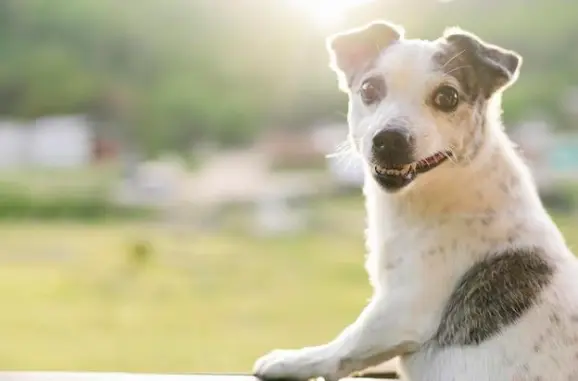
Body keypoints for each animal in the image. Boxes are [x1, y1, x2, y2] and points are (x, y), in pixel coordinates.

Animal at [252, 21, 578, 380]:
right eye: (368, 89)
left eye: (447, 97)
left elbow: (346, 344)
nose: (389, 140)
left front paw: (292, 360)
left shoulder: (400, 308)